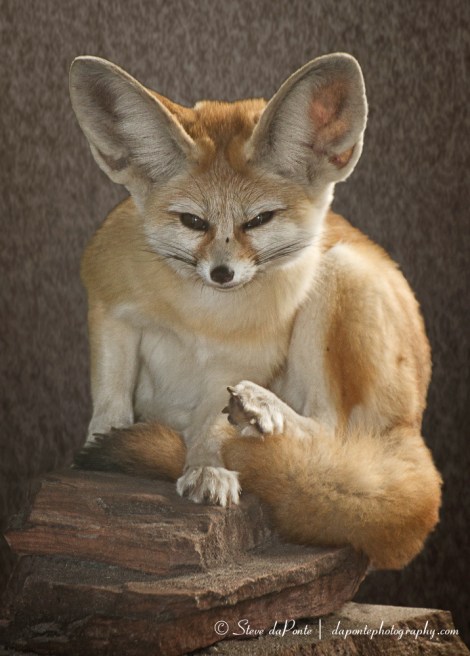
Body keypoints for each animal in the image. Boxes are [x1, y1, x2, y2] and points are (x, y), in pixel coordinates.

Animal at [69, 53, 442, 570]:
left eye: (259, 220)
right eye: (193, 222)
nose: (222, 273)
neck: (200, 319)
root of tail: (413, 428)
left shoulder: (239, 362)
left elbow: (209, 429)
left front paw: (208, 468)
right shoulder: (108, 300)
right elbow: (110, 397)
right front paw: (103, 441)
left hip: (338, 273)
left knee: (330, 433)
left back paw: (260, 412)